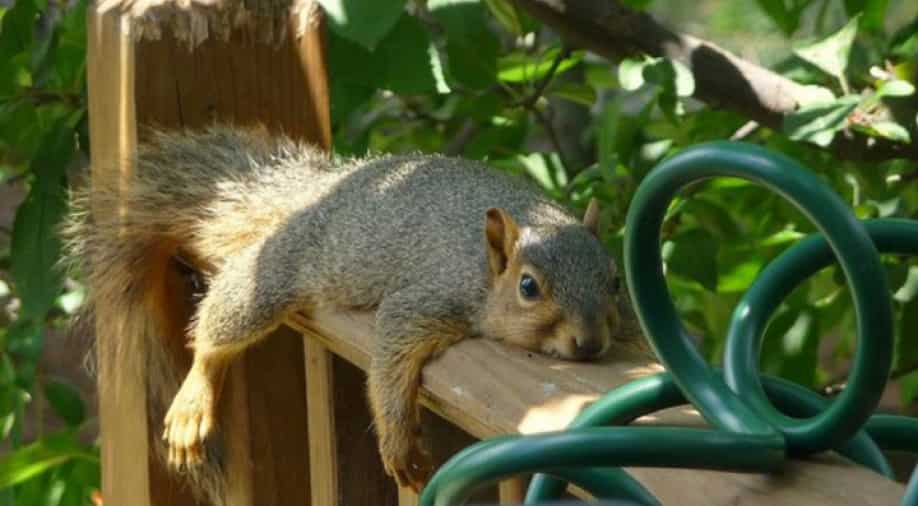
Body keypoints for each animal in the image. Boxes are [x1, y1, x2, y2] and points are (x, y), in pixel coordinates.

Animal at [63, 127, 645, 502]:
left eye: (616, 281)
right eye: (528, 287)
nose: (589, 343)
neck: (486, 271)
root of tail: (319, 189)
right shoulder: (429, 296)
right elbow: (390, 357)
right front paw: (398, 441)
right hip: (280, 268)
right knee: (220, 326)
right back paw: (194, 399)